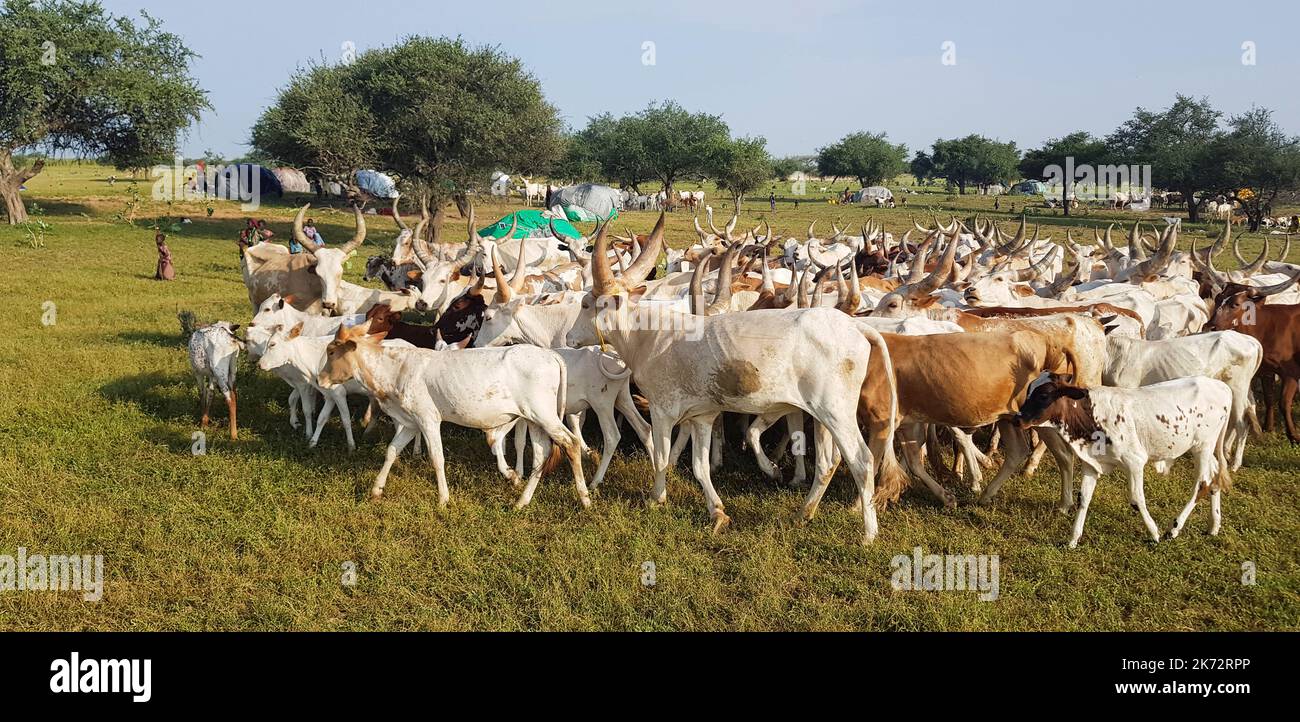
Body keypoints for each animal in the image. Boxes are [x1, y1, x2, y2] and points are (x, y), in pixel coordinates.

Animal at [1015, 375, 1233, 547]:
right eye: (1028, 390)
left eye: (1043, 395)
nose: (1018, 418)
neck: (1091, 415)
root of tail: (1222, 386)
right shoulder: (1091, 464)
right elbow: (1083, 498)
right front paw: (1073, 540)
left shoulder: (1135, 461)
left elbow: (1136, 499)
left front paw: (1154, 533)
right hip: (1206, 449)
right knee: (1214, 478)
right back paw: (1214, 526)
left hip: (1202, 446)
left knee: (1202, 484)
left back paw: (1175, 528)